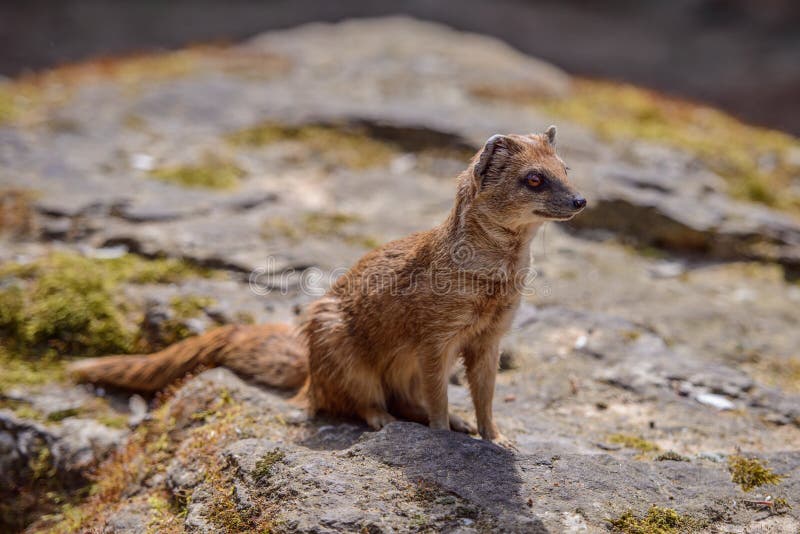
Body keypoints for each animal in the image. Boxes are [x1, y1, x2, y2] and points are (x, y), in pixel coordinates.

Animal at [70, 126, 586, 446]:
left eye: (566, 168)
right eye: (533, 179)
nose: (581, 200)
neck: (493, 284)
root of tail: (308, 372)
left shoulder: (493, 335)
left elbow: (485, 392)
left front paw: (495, 436)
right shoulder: (433, 333)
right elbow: (438, 390)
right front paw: (443, 431)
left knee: (399, 400)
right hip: (335, 339)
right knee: (348, 401)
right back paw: (381, 420)